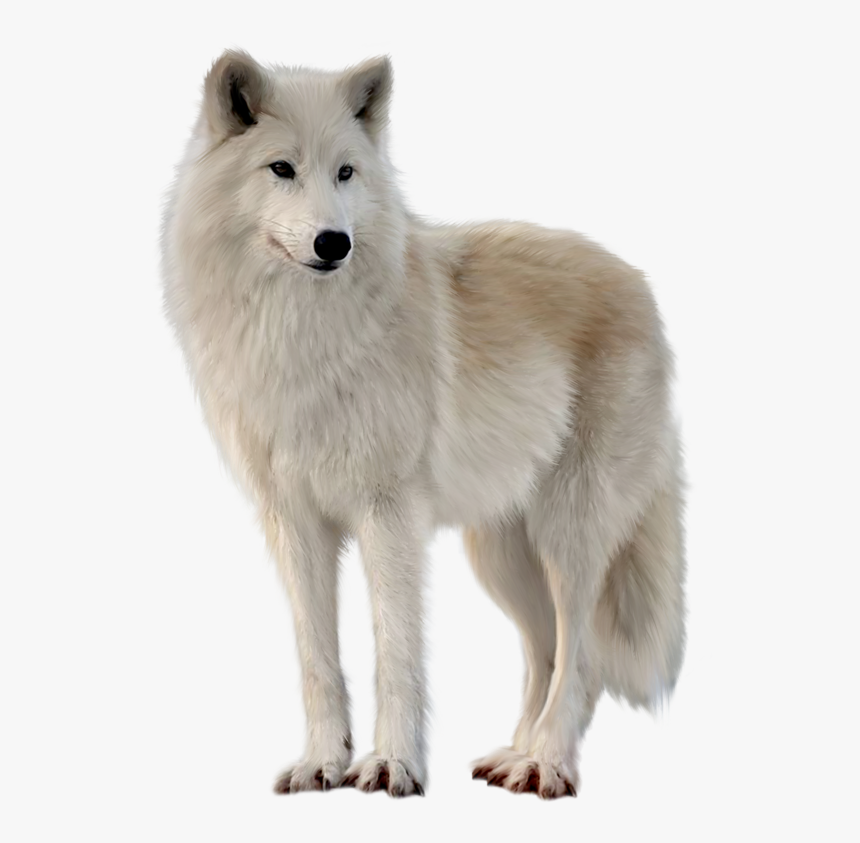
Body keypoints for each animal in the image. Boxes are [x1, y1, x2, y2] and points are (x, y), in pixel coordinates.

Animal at [160, 49, 687, 799]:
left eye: (346, 172)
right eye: (281, 168)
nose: (334, 242)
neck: (301, 333)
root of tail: (640, 282)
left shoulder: (390, 515)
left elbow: (396, 651)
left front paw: (391, 765)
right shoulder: (294, 522)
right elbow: (317, 659)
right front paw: (322, 763)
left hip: (571, 536)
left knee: (580, 660)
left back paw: (546, 764)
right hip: (502, 554)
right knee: (544, 651)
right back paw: (513, 755)